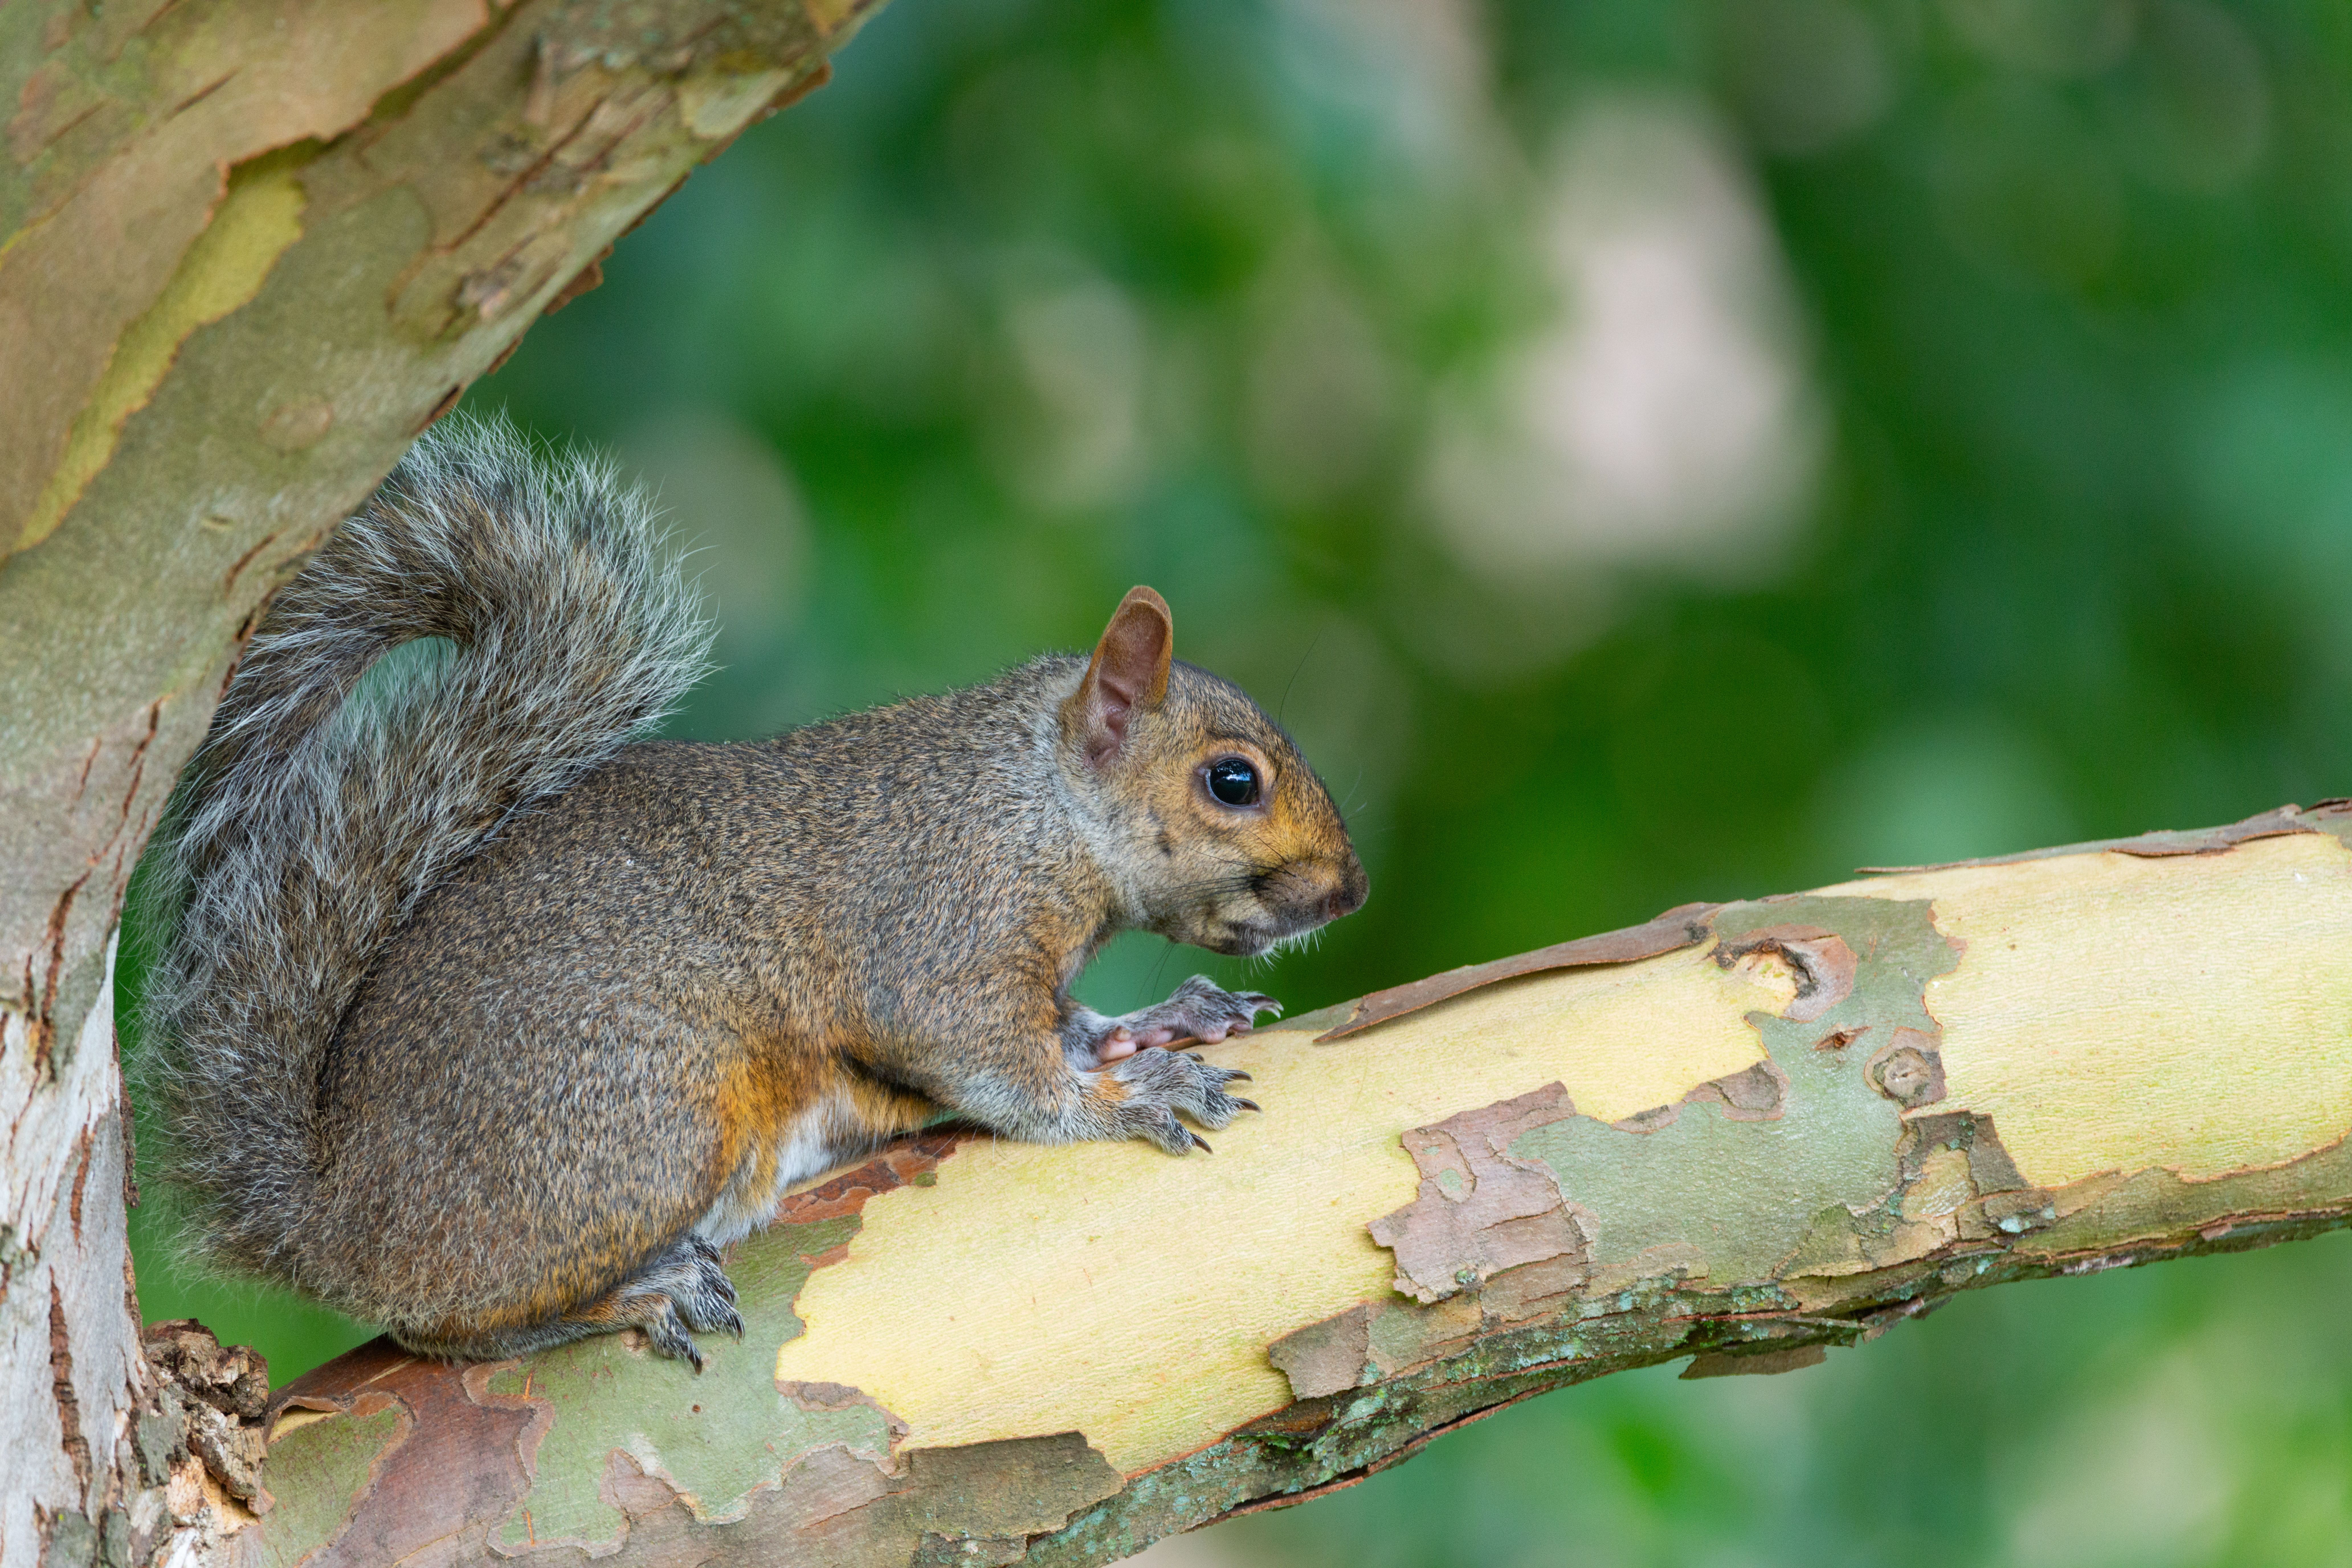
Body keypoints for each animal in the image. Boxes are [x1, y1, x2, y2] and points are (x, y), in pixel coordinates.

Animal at [141, 415, 1368, 1368]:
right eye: (1232, 780)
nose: (1350, 892)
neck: (1037, 801)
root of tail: (329, 1215)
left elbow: (1068, 1024)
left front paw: (1159, 1023)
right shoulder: (943, 925)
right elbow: (995, 1066)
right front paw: (1128, 1096)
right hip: (646, 1121)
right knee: (442, 1325)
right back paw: (629, 1294)